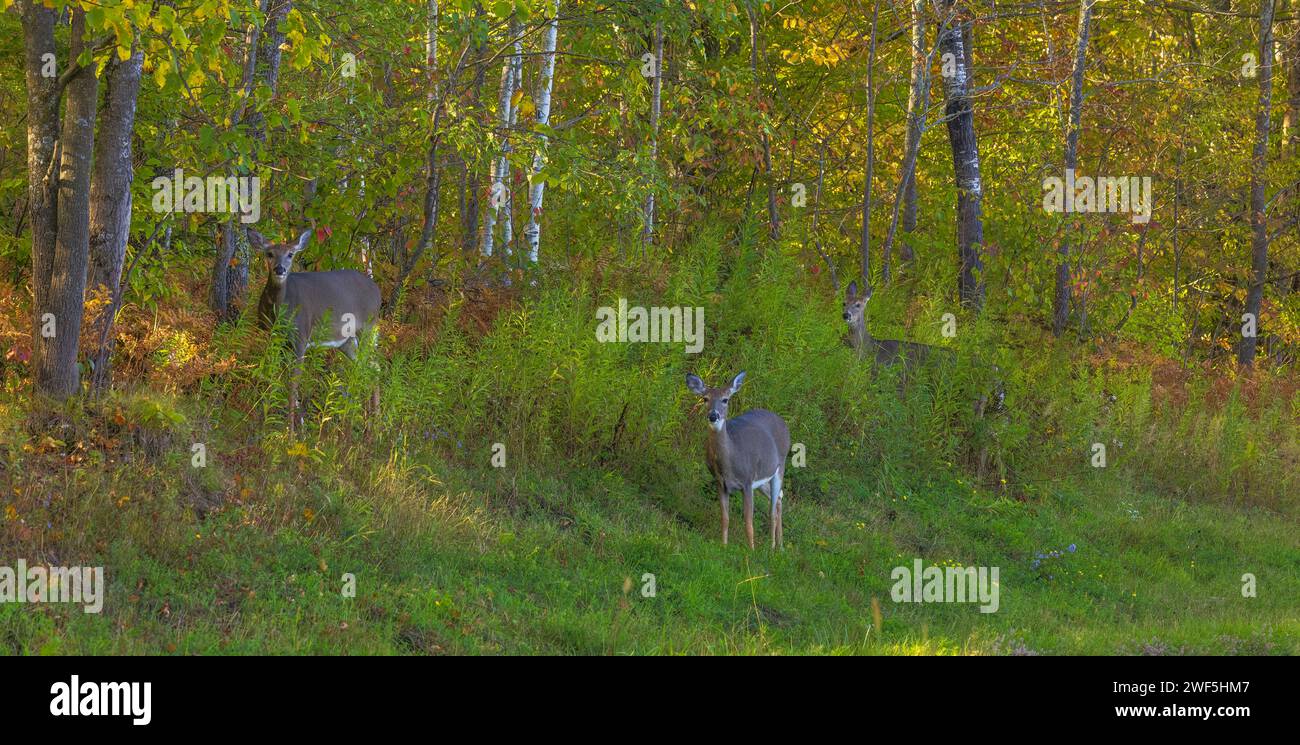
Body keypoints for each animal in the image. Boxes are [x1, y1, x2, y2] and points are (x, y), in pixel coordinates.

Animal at [253, 228, 383, 431]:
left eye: (290, 254)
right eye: (269, 253)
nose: (280, 269)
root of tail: (378, 291)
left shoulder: (301, 337)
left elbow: (293, 384)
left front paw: (291, 432)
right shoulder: (273, 337)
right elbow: (271, 375)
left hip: (368, 328)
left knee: (374, 365)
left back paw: (375, 425)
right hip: (346, 342)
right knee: (367, 367)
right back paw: (367, 423)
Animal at [685, 372, 791, 549]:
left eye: (725, 399)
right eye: (705, 398)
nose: (713, 416)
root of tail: (783, 422)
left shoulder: (747, 482)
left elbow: (748, 521)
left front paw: (751, 550)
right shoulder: (721, 483)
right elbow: (725, 518)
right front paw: (724, 546)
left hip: (779, 467)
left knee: (772, 508)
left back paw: (771, 547)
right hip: (762, 480)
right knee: (778, 499)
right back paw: (780, 547)